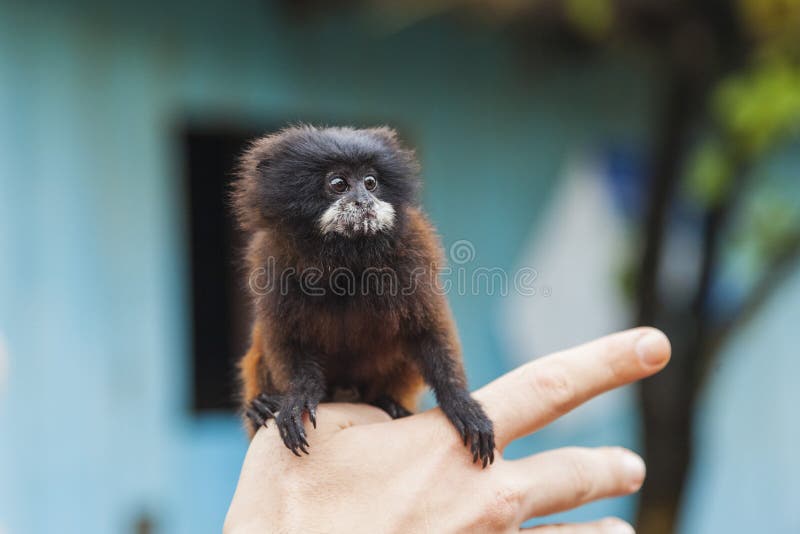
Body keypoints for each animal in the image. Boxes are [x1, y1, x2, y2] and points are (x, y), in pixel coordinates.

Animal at [232, 125, 495, 467]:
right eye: (339, 184)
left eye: (371, 182)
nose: (364, 200)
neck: (346, 262)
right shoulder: (272, 263)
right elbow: (284, 339)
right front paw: (298, 396)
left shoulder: (414, 255)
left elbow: (428, 330)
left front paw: (460, 402)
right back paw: (259, 406)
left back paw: (389, 404)